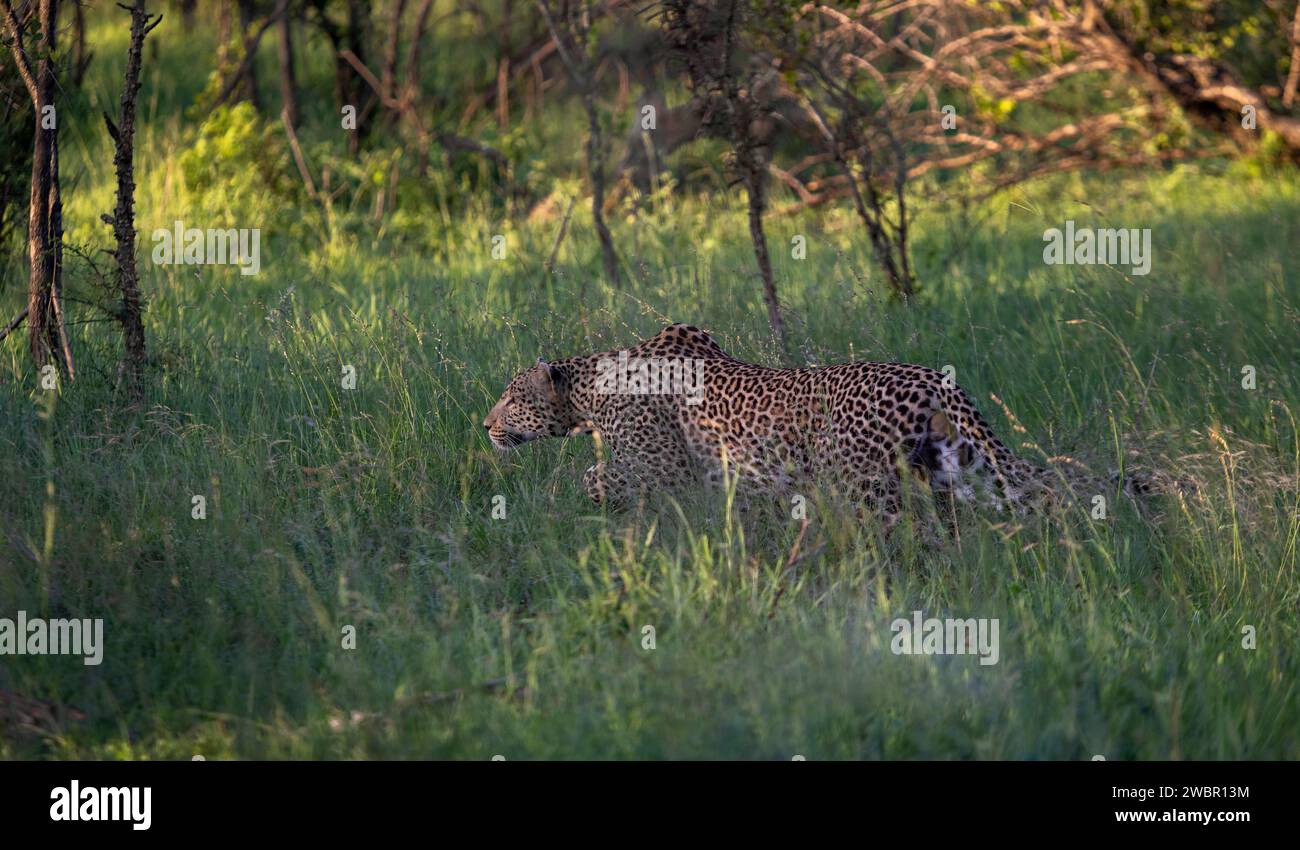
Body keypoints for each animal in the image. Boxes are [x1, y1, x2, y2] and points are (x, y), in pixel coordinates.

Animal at [484, 323, 1152, 526]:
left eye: (511, 396)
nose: (484, 426)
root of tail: (933, 377)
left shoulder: (661, 467)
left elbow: (595, 480)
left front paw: (584, 500)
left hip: (864, 485)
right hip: (951, 467)